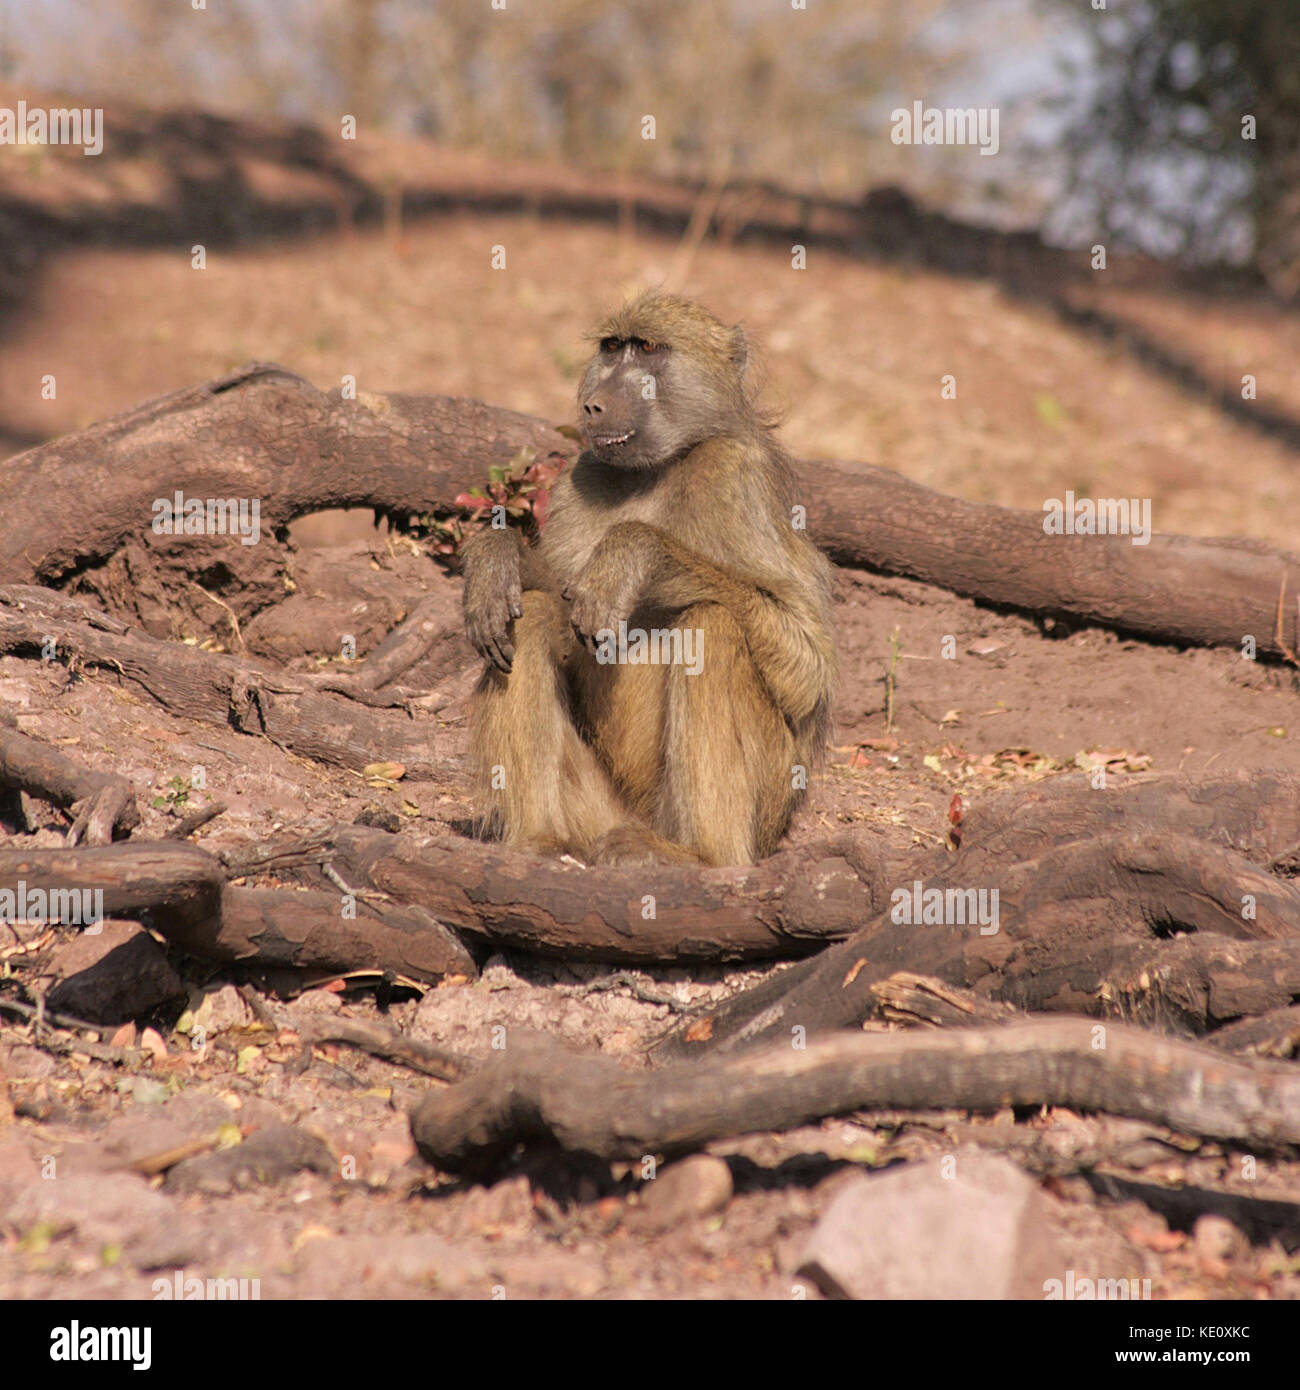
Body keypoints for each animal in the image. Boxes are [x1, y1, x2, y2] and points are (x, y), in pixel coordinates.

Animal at [460, 291, 835, 867]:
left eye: (648, 349)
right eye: (613, 348)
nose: (594, 405)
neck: (657, 470)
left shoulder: (735, 475)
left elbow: (807, 669)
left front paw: (635, 553)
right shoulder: (582, 474)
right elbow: (550, 593)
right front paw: (494, 558)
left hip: (759, 805)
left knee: (713, 622)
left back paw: (700, 855)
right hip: (597, 811)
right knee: (528, 616)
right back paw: (539, 841)